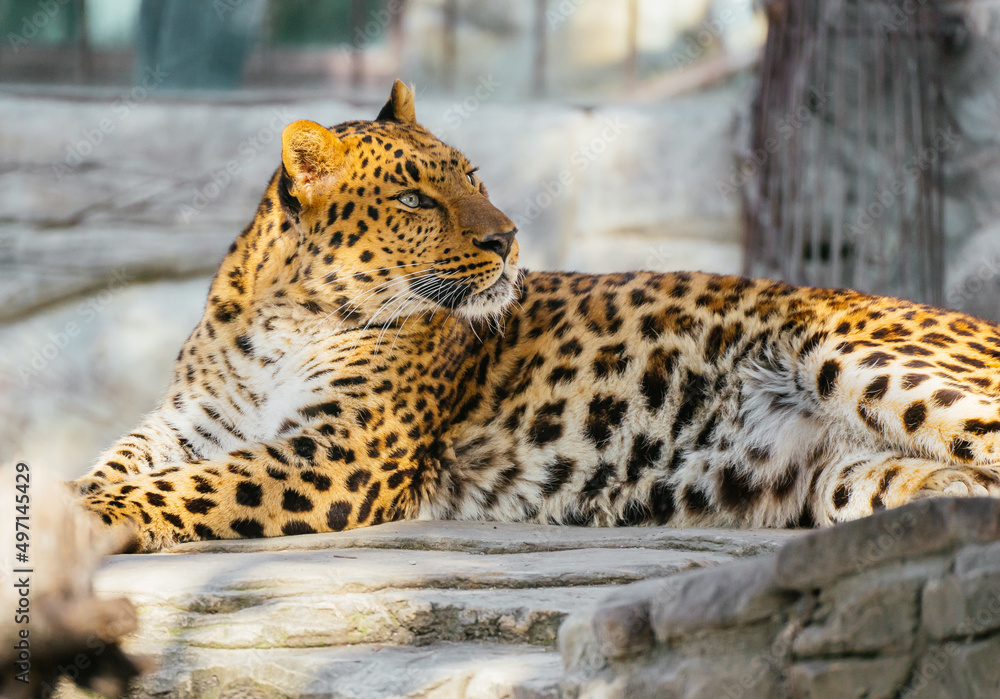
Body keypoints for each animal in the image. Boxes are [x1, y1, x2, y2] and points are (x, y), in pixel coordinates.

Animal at [76, 80, 1000, 553]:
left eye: (473, 175)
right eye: (413, 198)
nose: (508, 237)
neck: (285, 312)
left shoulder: (338, 452)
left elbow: (190, 486)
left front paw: (83, 521)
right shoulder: (191, 420)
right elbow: (124, 461)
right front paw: (75, 502)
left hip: (847, 349)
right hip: (839, 474)